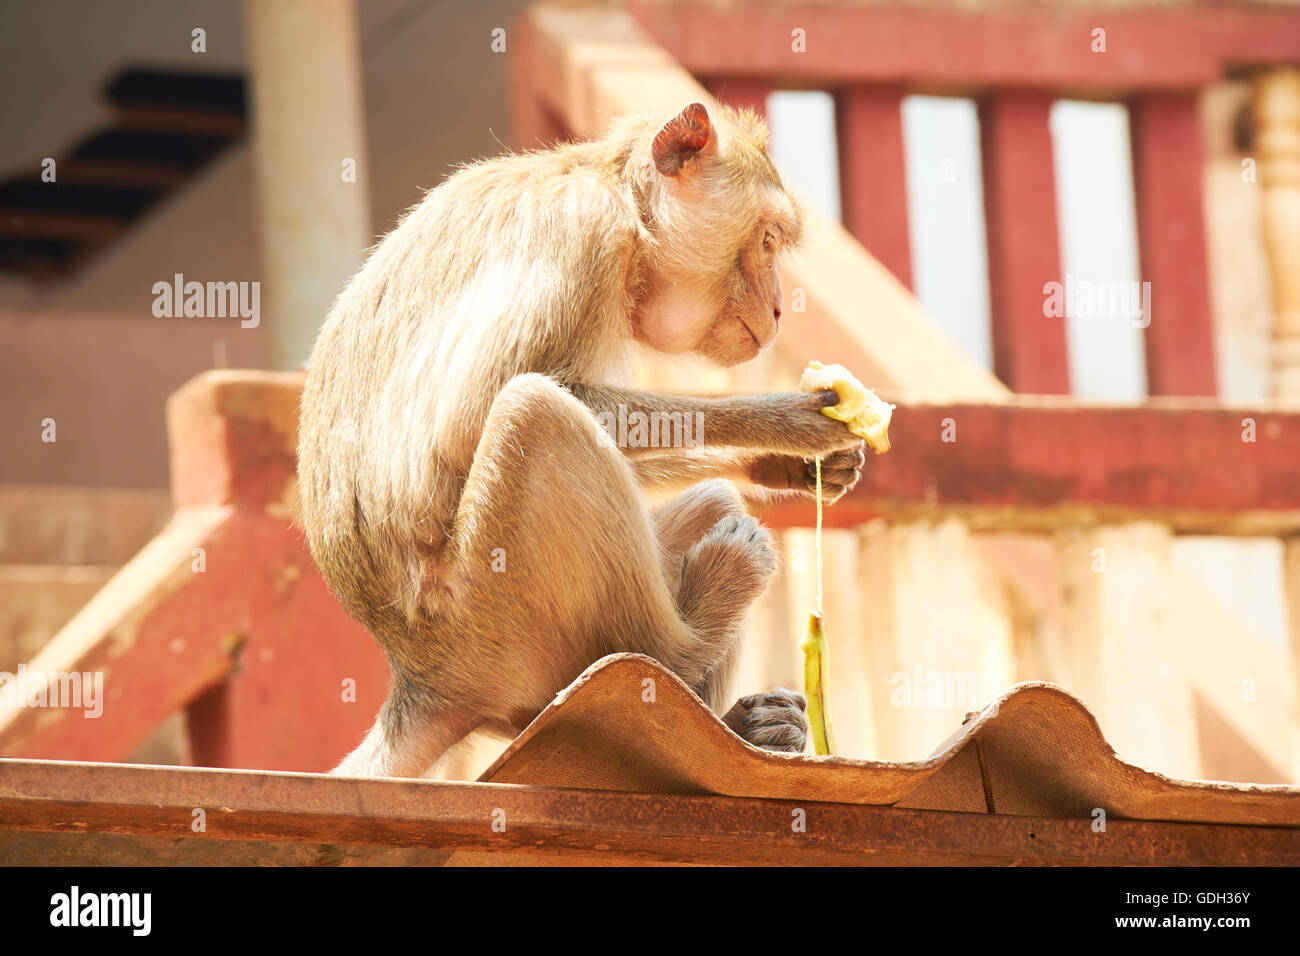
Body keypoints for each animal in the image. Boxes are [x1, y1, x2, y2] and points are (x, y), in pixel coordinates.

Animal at [298, 101, 868, 778]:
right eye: (768, 239)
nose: (780, 308)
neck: (622, 203)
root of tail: (420, 674)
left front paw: (780, 466)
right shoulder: (582, 241)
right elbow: (471, 419)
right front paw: (785, 422)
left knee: (709, 501)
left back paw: (740, 723)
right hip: (492, 619)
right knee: (534, 411)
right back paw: (687, 637)